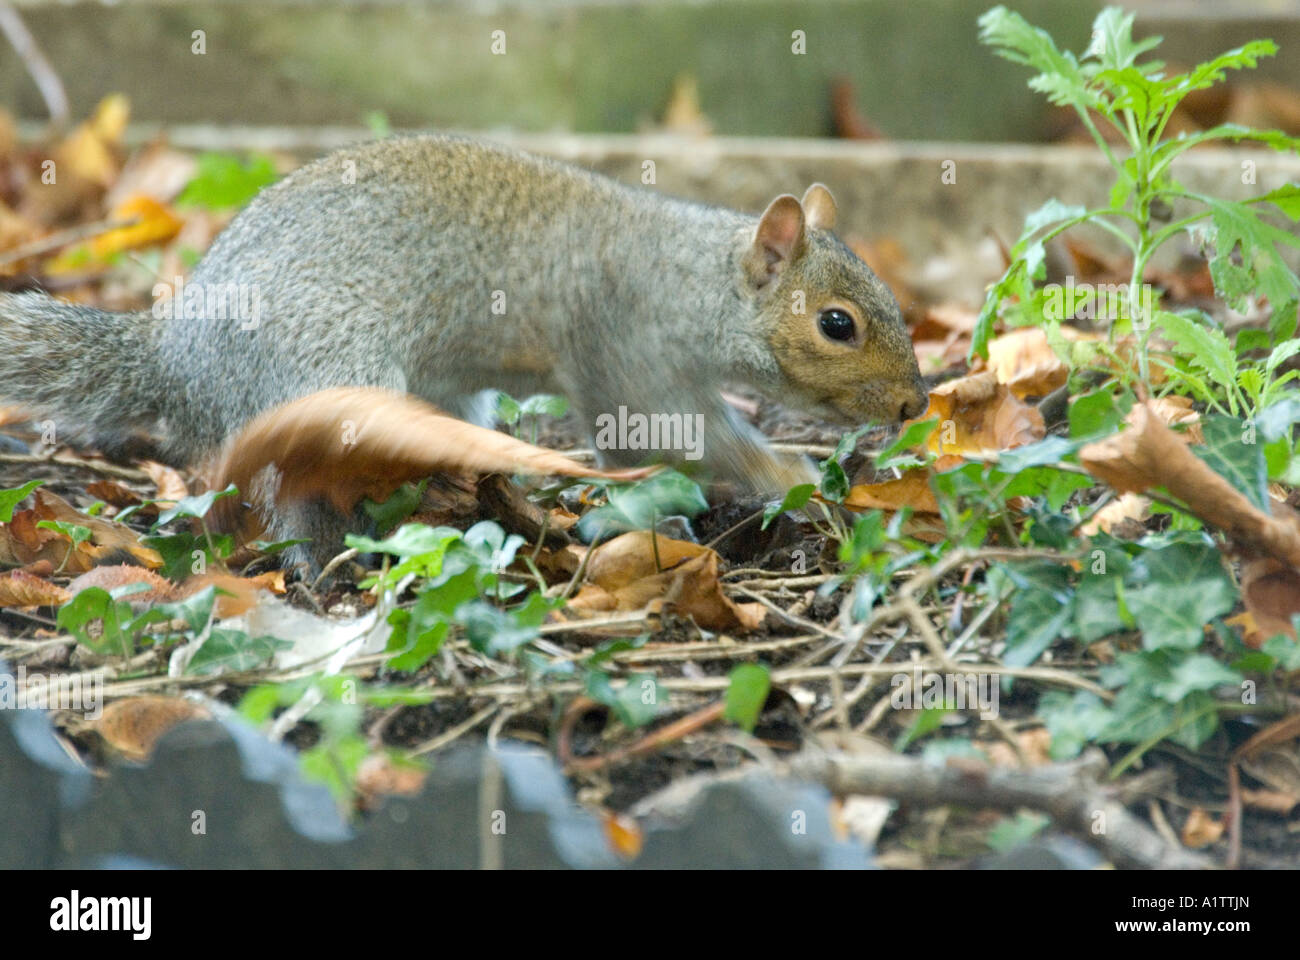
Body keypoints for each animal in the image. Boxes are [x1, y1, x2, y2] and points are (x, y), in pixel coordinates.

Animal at [0, 134, 927, 568]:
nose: (916, 403)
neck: (694, 280)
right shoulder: (628, 356)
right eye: (837, 323)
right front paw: (790, 473)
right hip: (327, 374)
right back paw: (330, 566)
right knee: (294, 495)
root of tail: (176, 354)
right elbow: (683, 440)